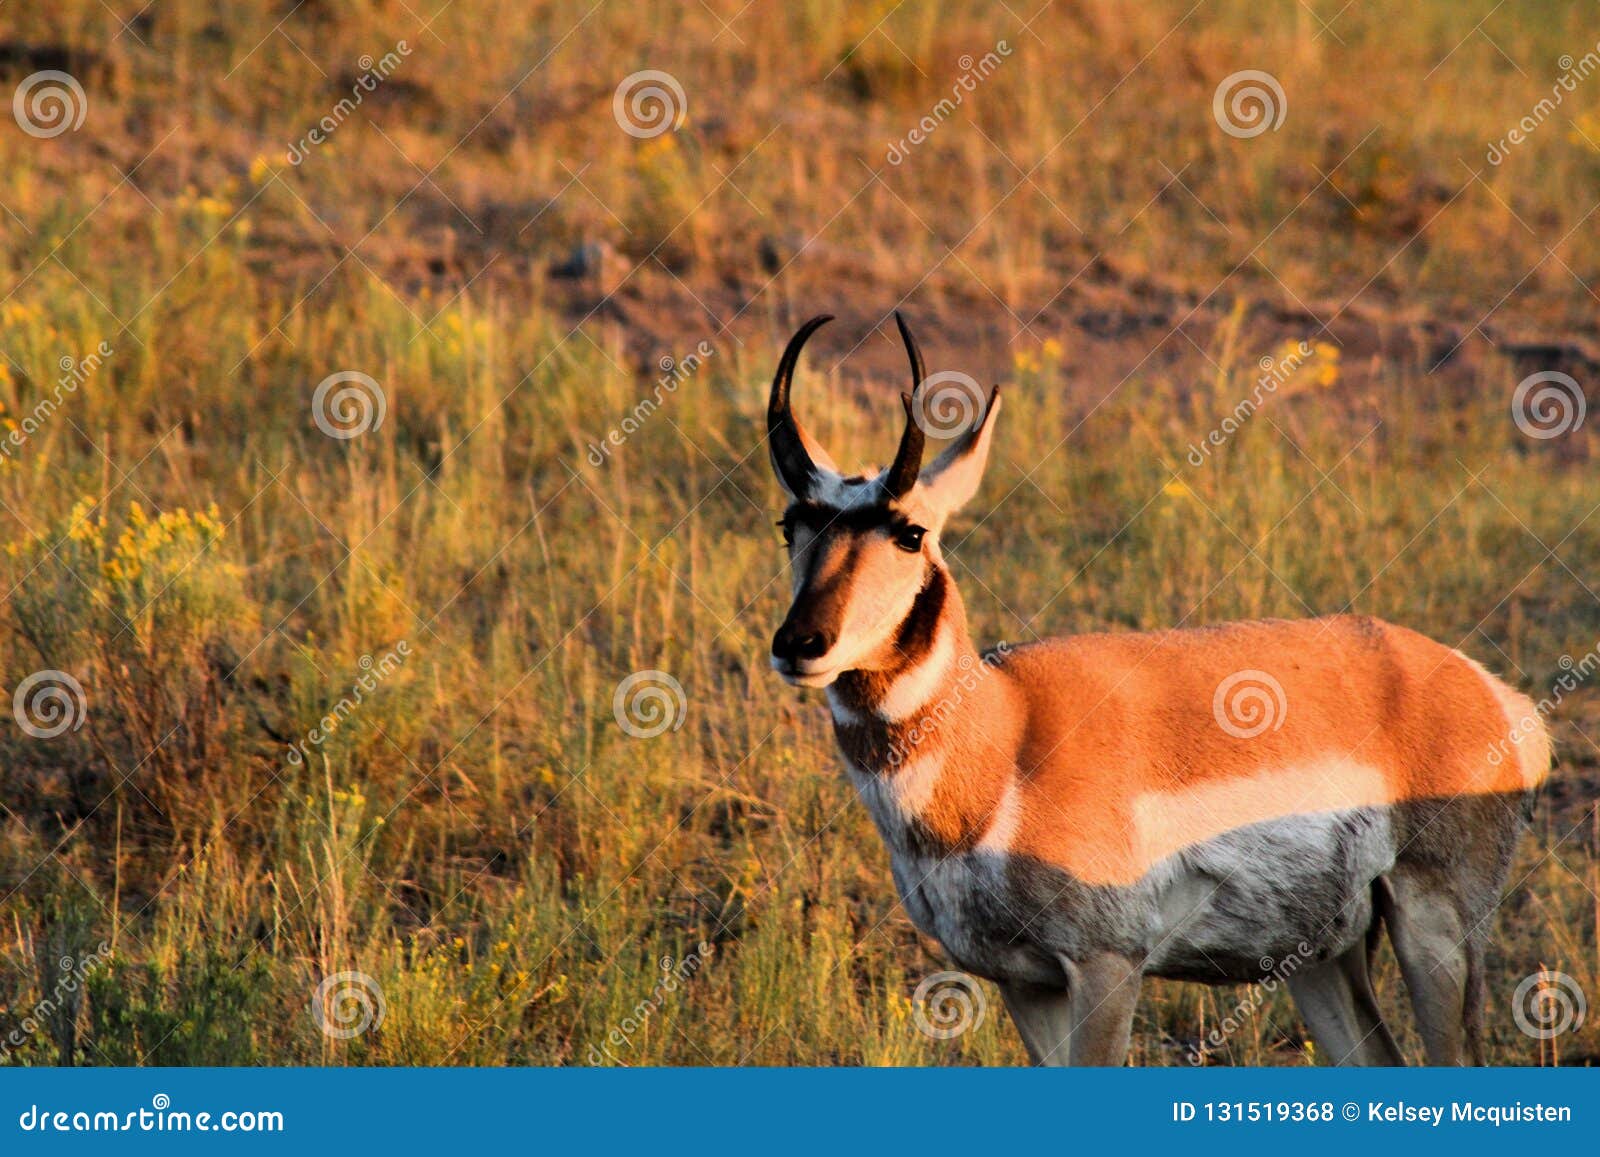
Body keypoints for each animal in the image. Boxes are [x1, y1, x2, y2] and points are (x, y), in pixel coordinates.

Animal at [765, 313, 1551, 1066]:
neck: (1006, 732)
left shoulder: (1107, 967)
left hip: (1434, 930)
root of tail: (1485, 689)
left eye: (910, 531)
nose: (799, 644)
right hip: (1320, 958)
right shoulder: (1025, 984)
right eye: (790, 524)